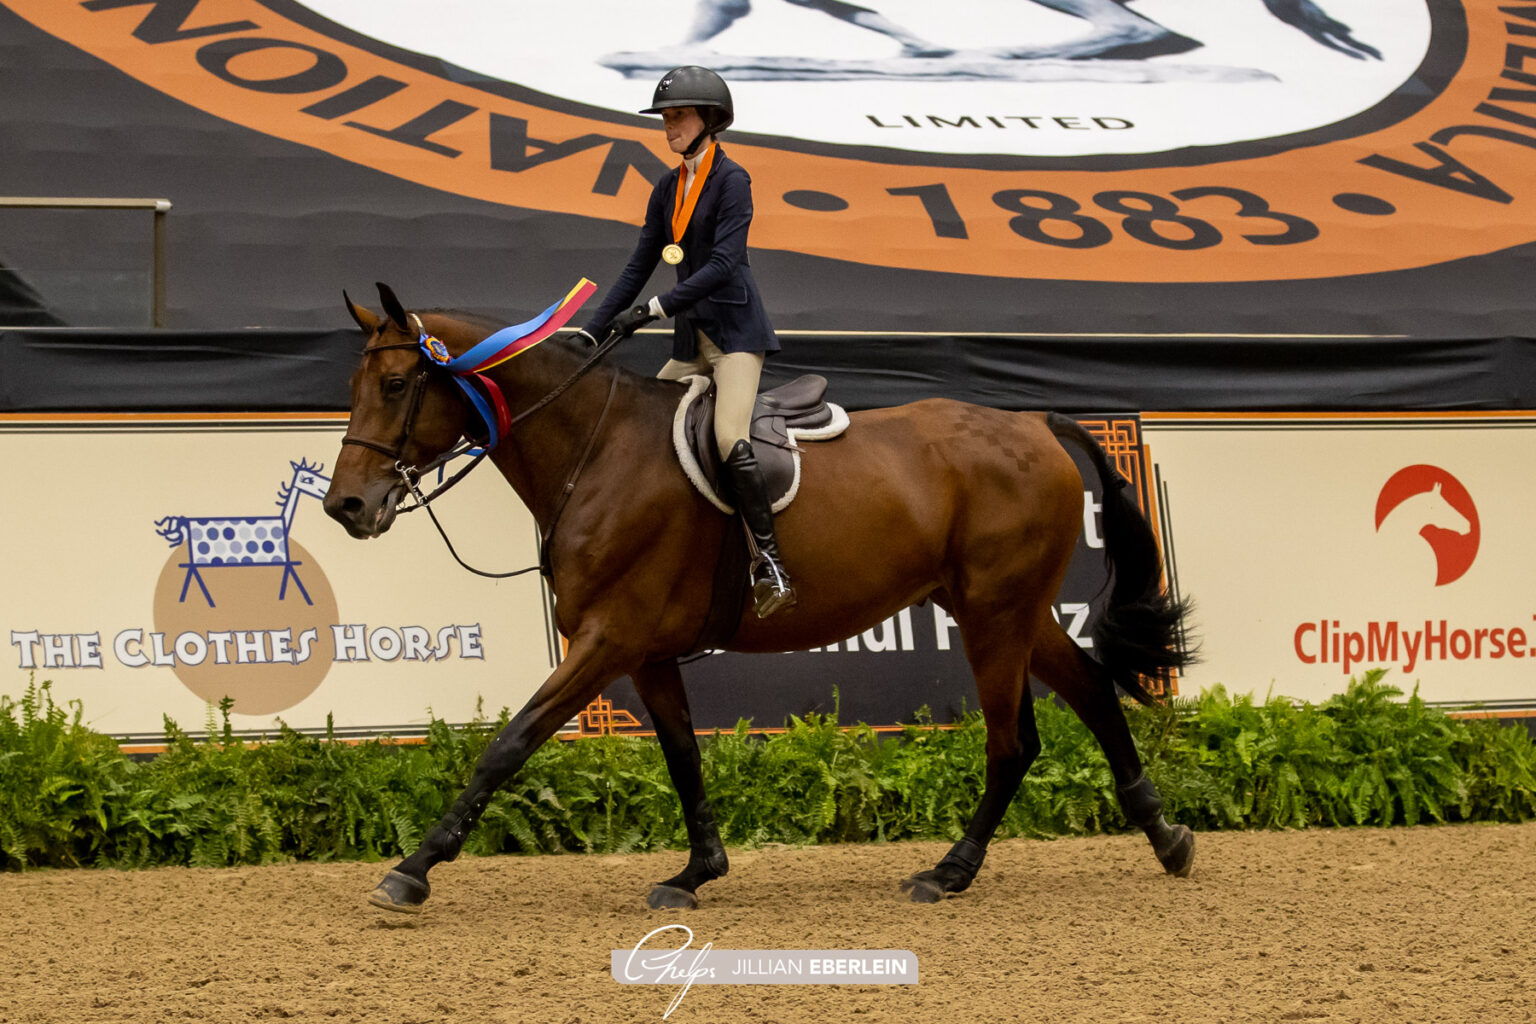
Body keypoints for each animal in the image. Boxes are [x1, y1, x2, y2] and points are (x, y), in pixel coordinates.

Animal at [324, 283, 1196, 913]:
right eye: (355, 385)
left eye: (396, 384)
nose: (346, 508)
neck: (595, 449)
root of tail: (1037, 426)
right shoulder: (645, 653)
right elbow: (683, 757)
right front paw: (696, 873)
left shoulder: (608, 639)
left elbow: (508, 745)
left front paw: (412, 869)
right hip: (1006, 609)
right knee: (1091, 691)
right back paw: (1165, 835)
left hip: (993, 615)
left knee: (1013, 743)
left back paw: (948, 872)